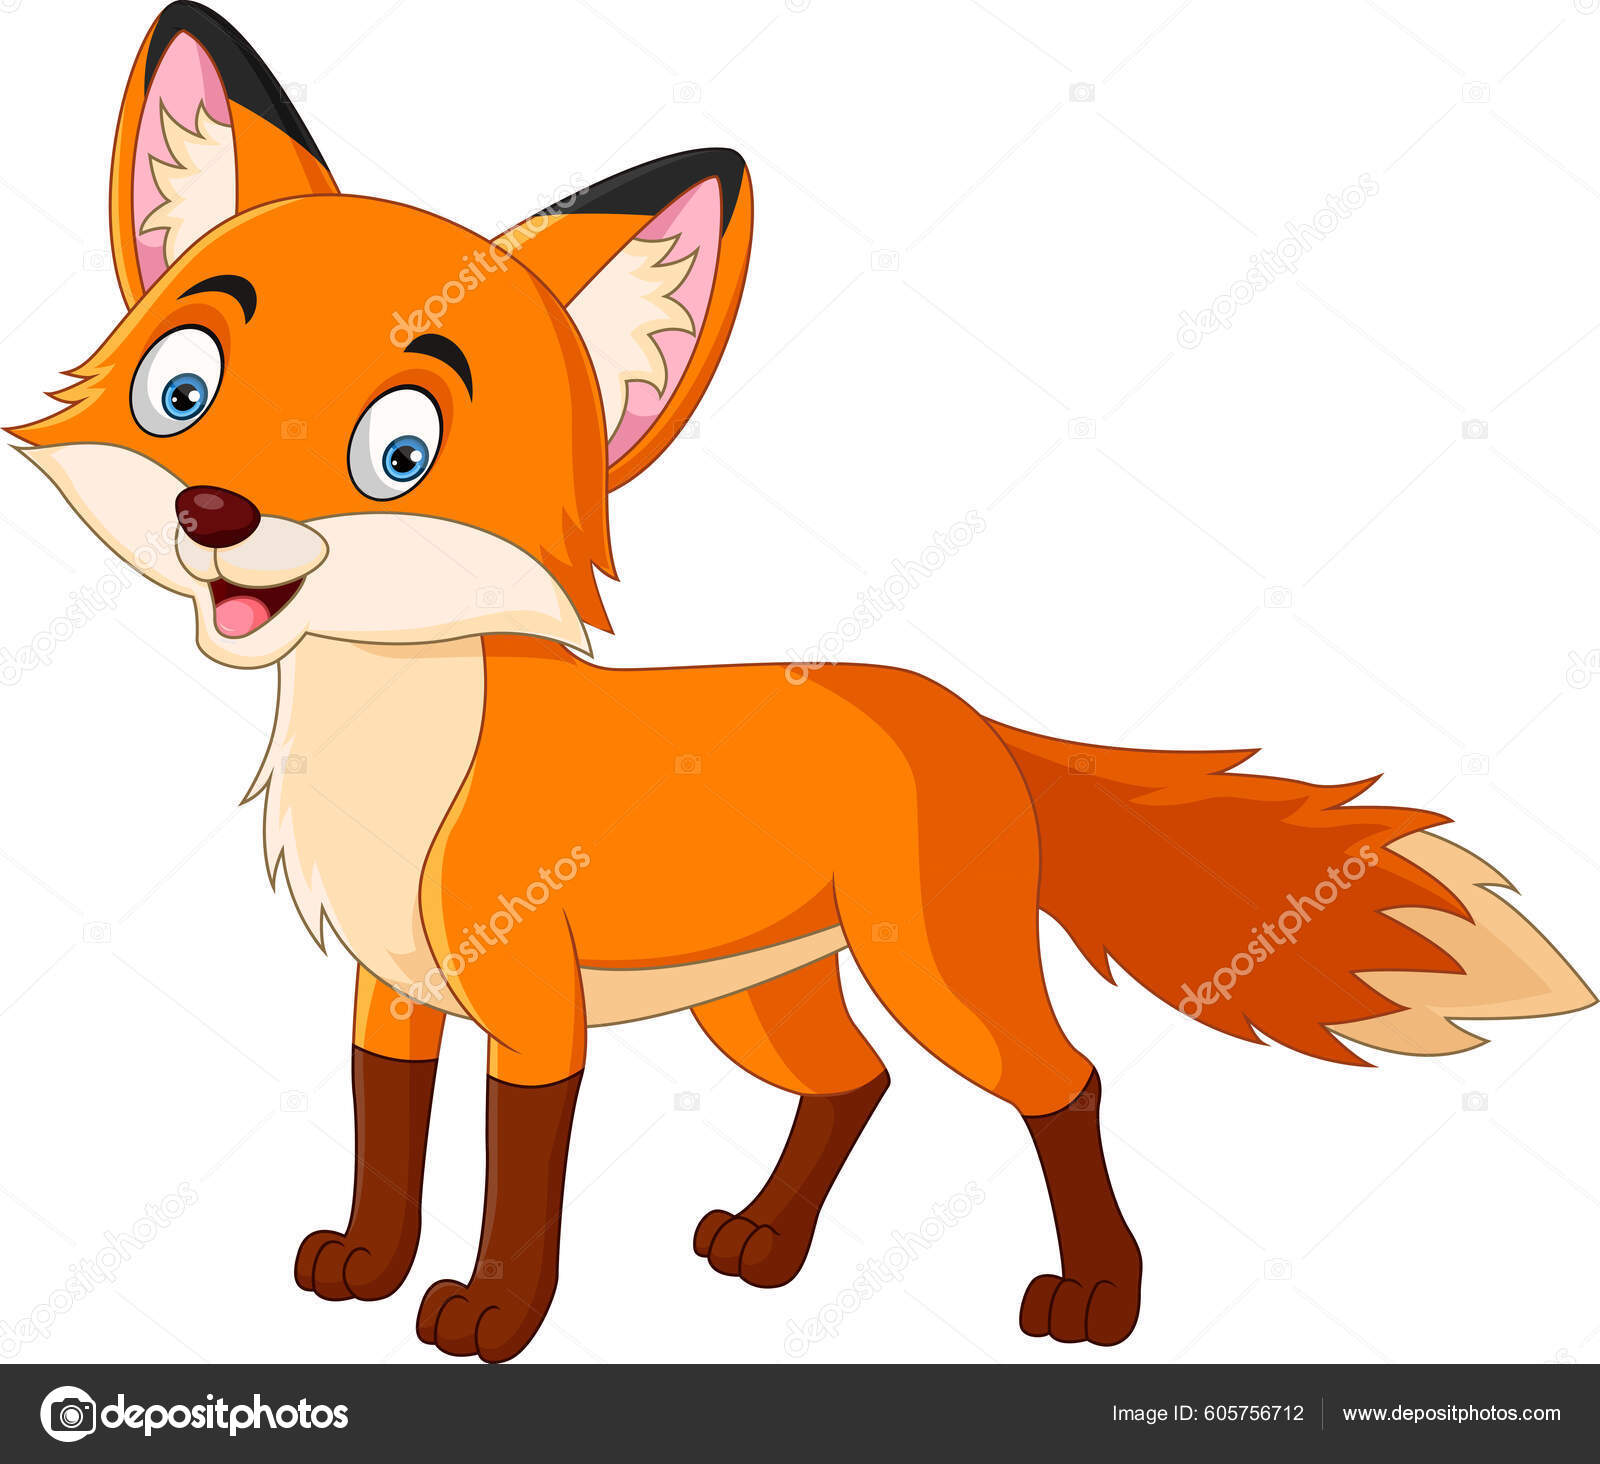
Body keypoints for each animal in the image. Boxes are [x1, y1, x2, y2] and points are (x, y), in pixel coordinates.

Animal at [12, 2, 1595, 1364]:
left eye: (401, 453)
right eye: (182, 390)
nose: (214, 513)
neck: (392, 763)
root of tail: (954, 710)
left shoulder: (533, 1011)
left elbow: (519, 1181)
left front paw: (493, 1315)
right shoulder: (392, 995)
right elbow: (384, 1141)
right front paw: (366, 1265)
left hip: (932, 973)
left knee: (1062, 1080)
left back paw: (1098, 1296)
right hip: (759, 997)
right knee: (855, 1082)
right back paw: (770, 1247)